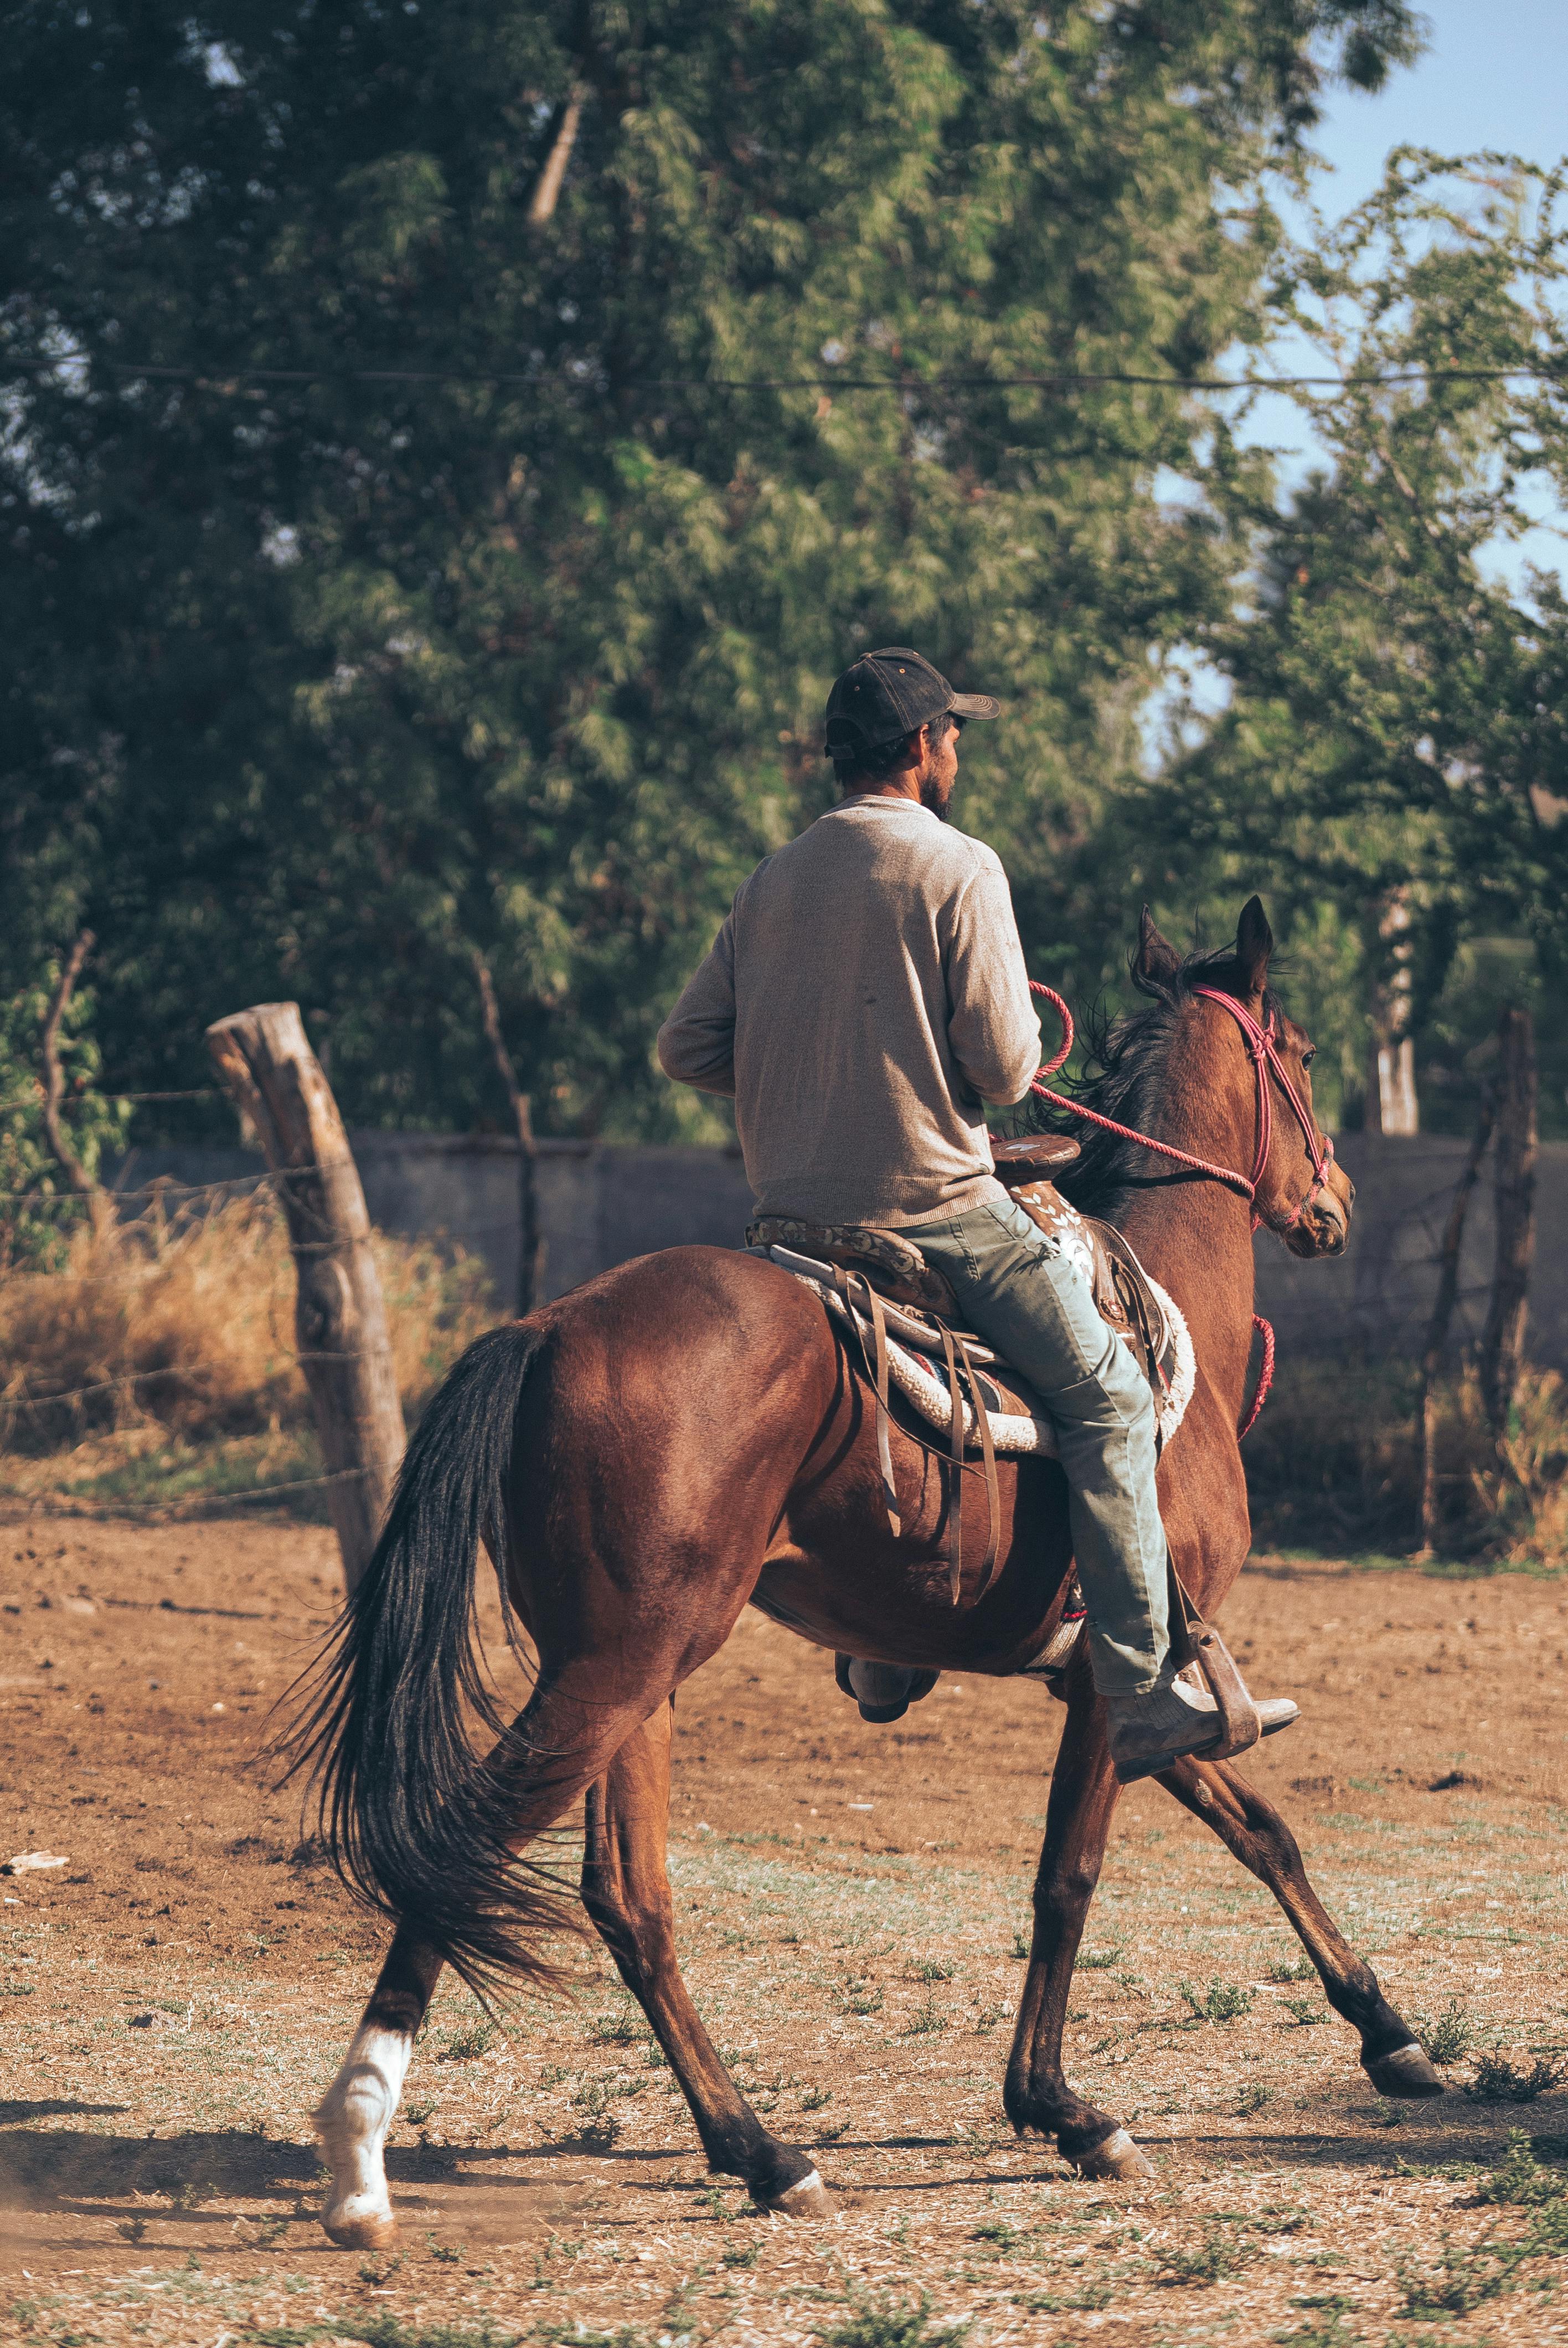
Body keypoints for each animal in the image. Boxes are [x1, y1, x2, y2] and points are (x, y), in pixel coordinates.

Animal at [291, 894, 1442, 2250]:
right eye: (1303, 1055)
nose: (1336, 1199)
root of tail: (552, 1324)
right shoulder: (1120, 1680)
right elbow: (1069, 1878)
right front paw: (1064, 2109)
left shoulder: (1126, 1683)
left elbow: (1262, 1830)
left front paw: (1391, 2035)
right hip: (616, 1667)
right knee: (472, 1846)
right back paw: (360, 2156)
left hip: (630, 1674)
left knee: (628, 1899)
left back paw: (757, 2150)